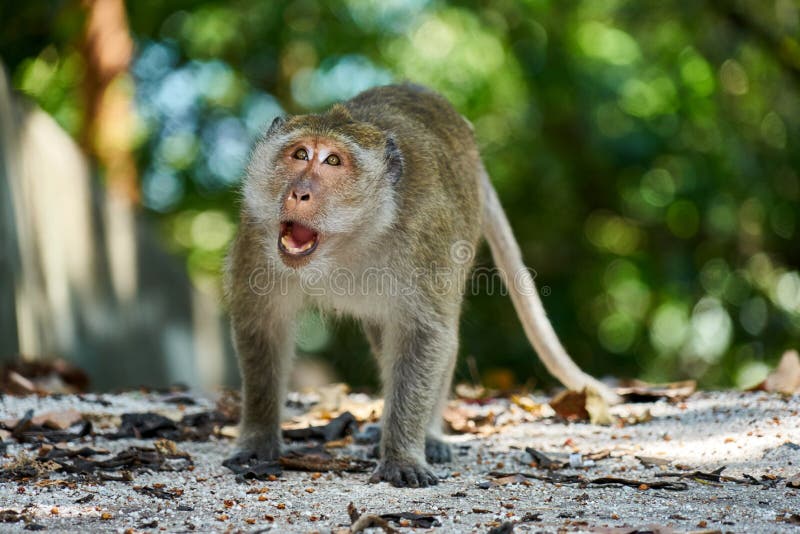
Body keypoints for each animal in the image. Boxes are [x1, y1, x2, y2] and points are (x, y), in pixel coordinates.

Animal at [224, 83, 618, 488]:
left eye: (333, 161)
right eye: (300, 154)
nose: (299, 192)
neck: (351, 238)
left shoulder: (425, 236)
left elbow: (424, 335)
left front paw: (402, 456)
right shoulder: (257, 232)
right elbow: (262, 328)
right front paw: (258, 440)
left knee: (441, 336)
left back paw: (428, 436)